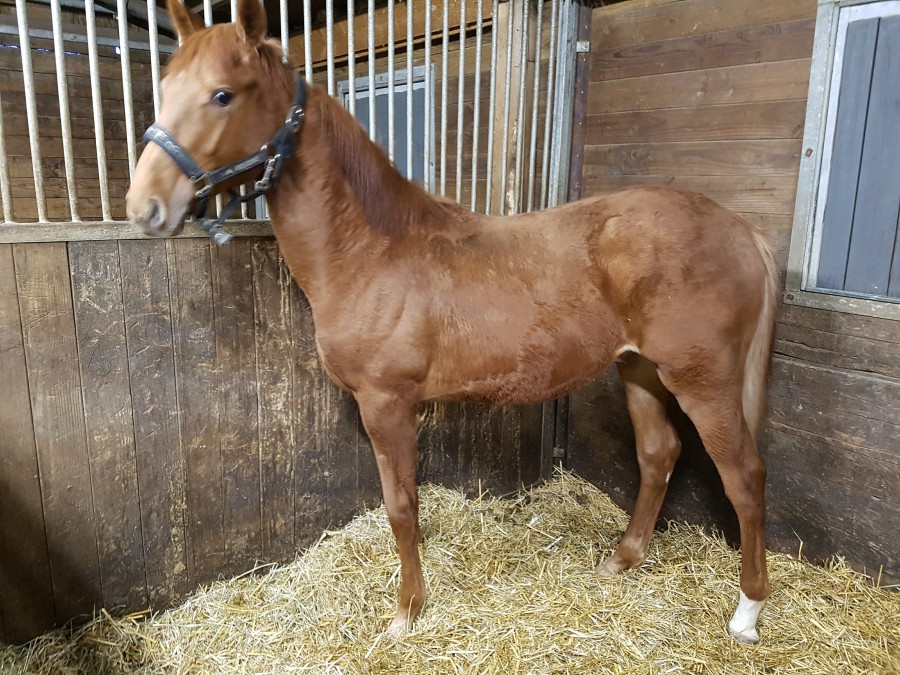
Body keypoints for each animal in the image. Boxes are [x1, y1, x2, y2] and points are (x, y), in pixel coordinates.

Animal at [126, 0, 778, 644]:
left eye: (223, 95)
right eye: (165, 88)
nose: (144, 207)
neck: (371, 252)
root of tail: (743, 231)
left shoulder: (387, 404)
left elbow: (401, 507)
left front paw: (406, 613)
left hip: (702, 381)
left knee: (744, 477)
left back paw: (746, 612)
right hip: (639, 370)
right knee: (658, 454)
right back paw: (622, 559)